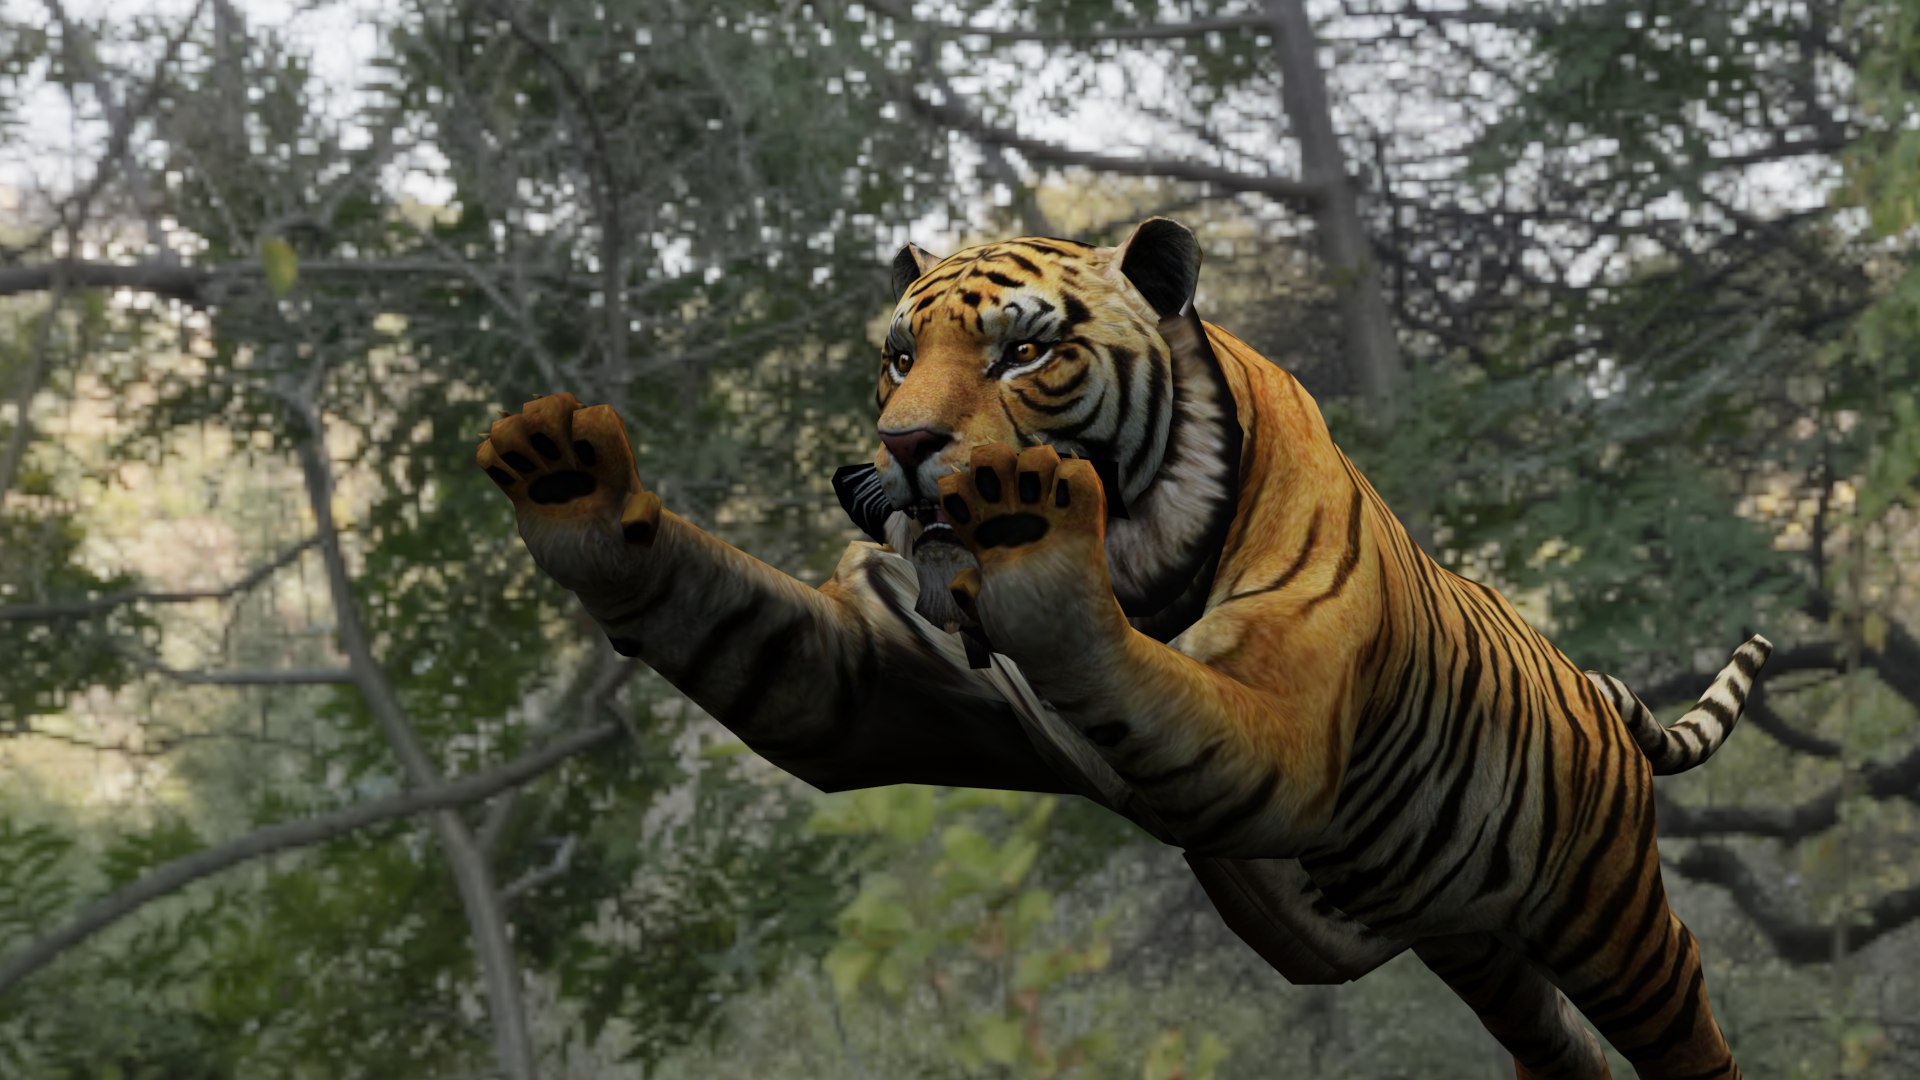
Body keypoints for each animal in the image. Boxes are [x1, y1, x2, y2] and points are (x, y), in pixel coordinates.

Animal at [477, 217, 1771, 1080]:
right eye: (898, 356)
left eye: (1020, 354)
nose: (904, 446)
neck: (1140, 559)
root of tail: (1587, 681)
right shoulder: (874, 681)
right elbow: (731, 614)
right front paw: (570, 483)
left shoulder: (1281, 723)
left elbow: (1134, 671)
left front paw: (1031, 533)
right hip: (1477, 939)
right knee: (1556, 1046)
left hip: (1606, 912)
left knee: (1681, 1021)